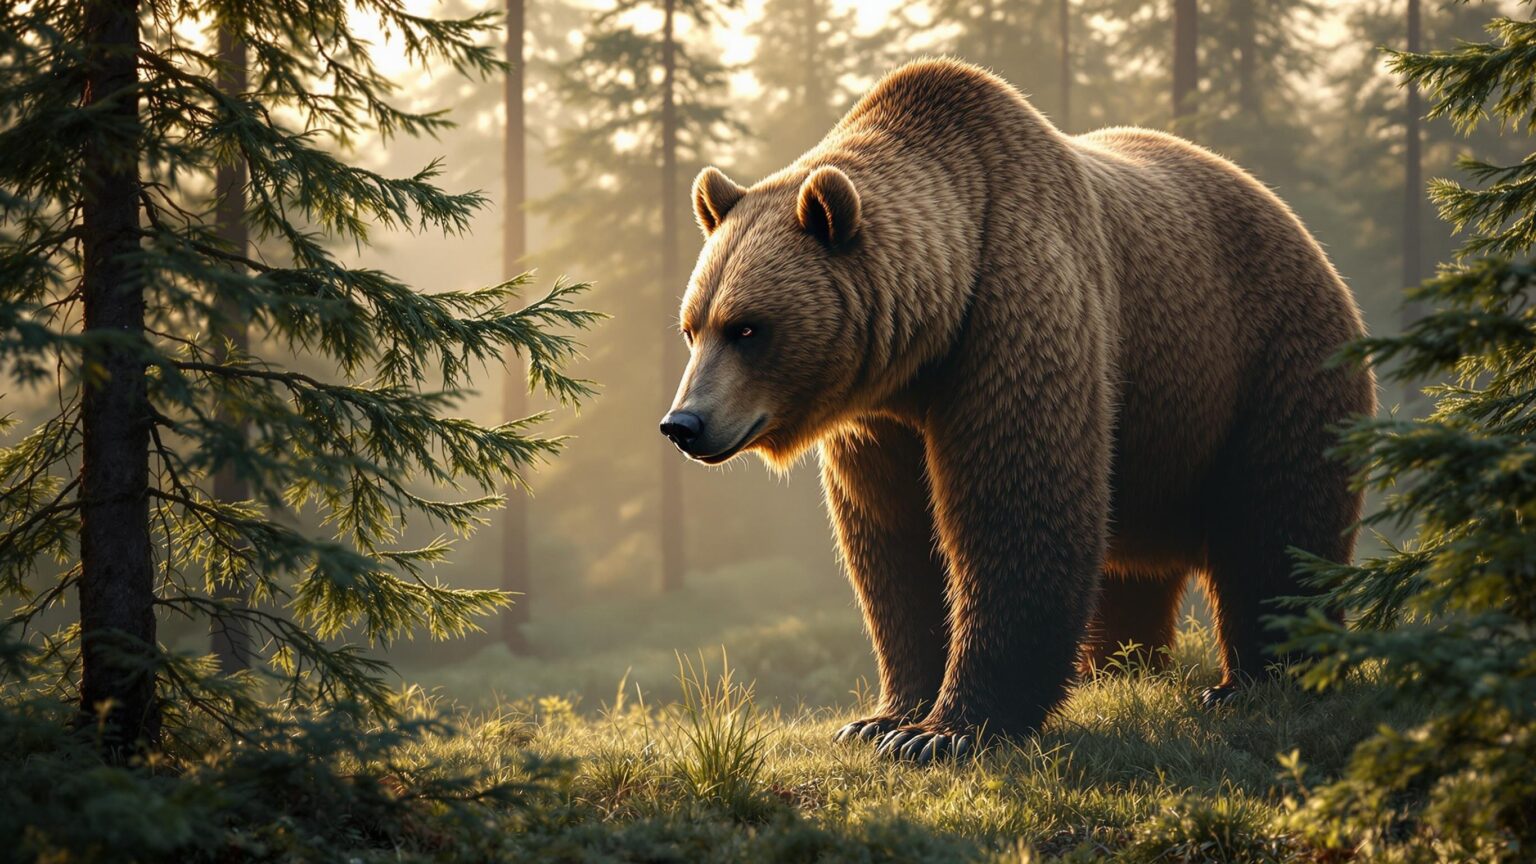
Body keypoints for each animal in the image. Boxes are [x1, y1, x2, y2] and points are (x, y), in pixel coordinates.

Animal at [658, 58, 1375, 764]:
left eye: (748, 328)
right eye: (692, 328)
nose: (683, 424)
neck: (933, 330)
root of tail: (1302, 230)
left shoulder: (1016, 314)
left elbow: (1015, 509)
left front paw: (946, 731)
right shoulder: (879, 417)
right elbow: (890, 537)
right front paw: (884, 718)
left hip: (1265, 364)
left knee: (1275, 528)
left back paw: (1251, 680)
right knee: (1130, 567)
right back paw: (1113, 665)